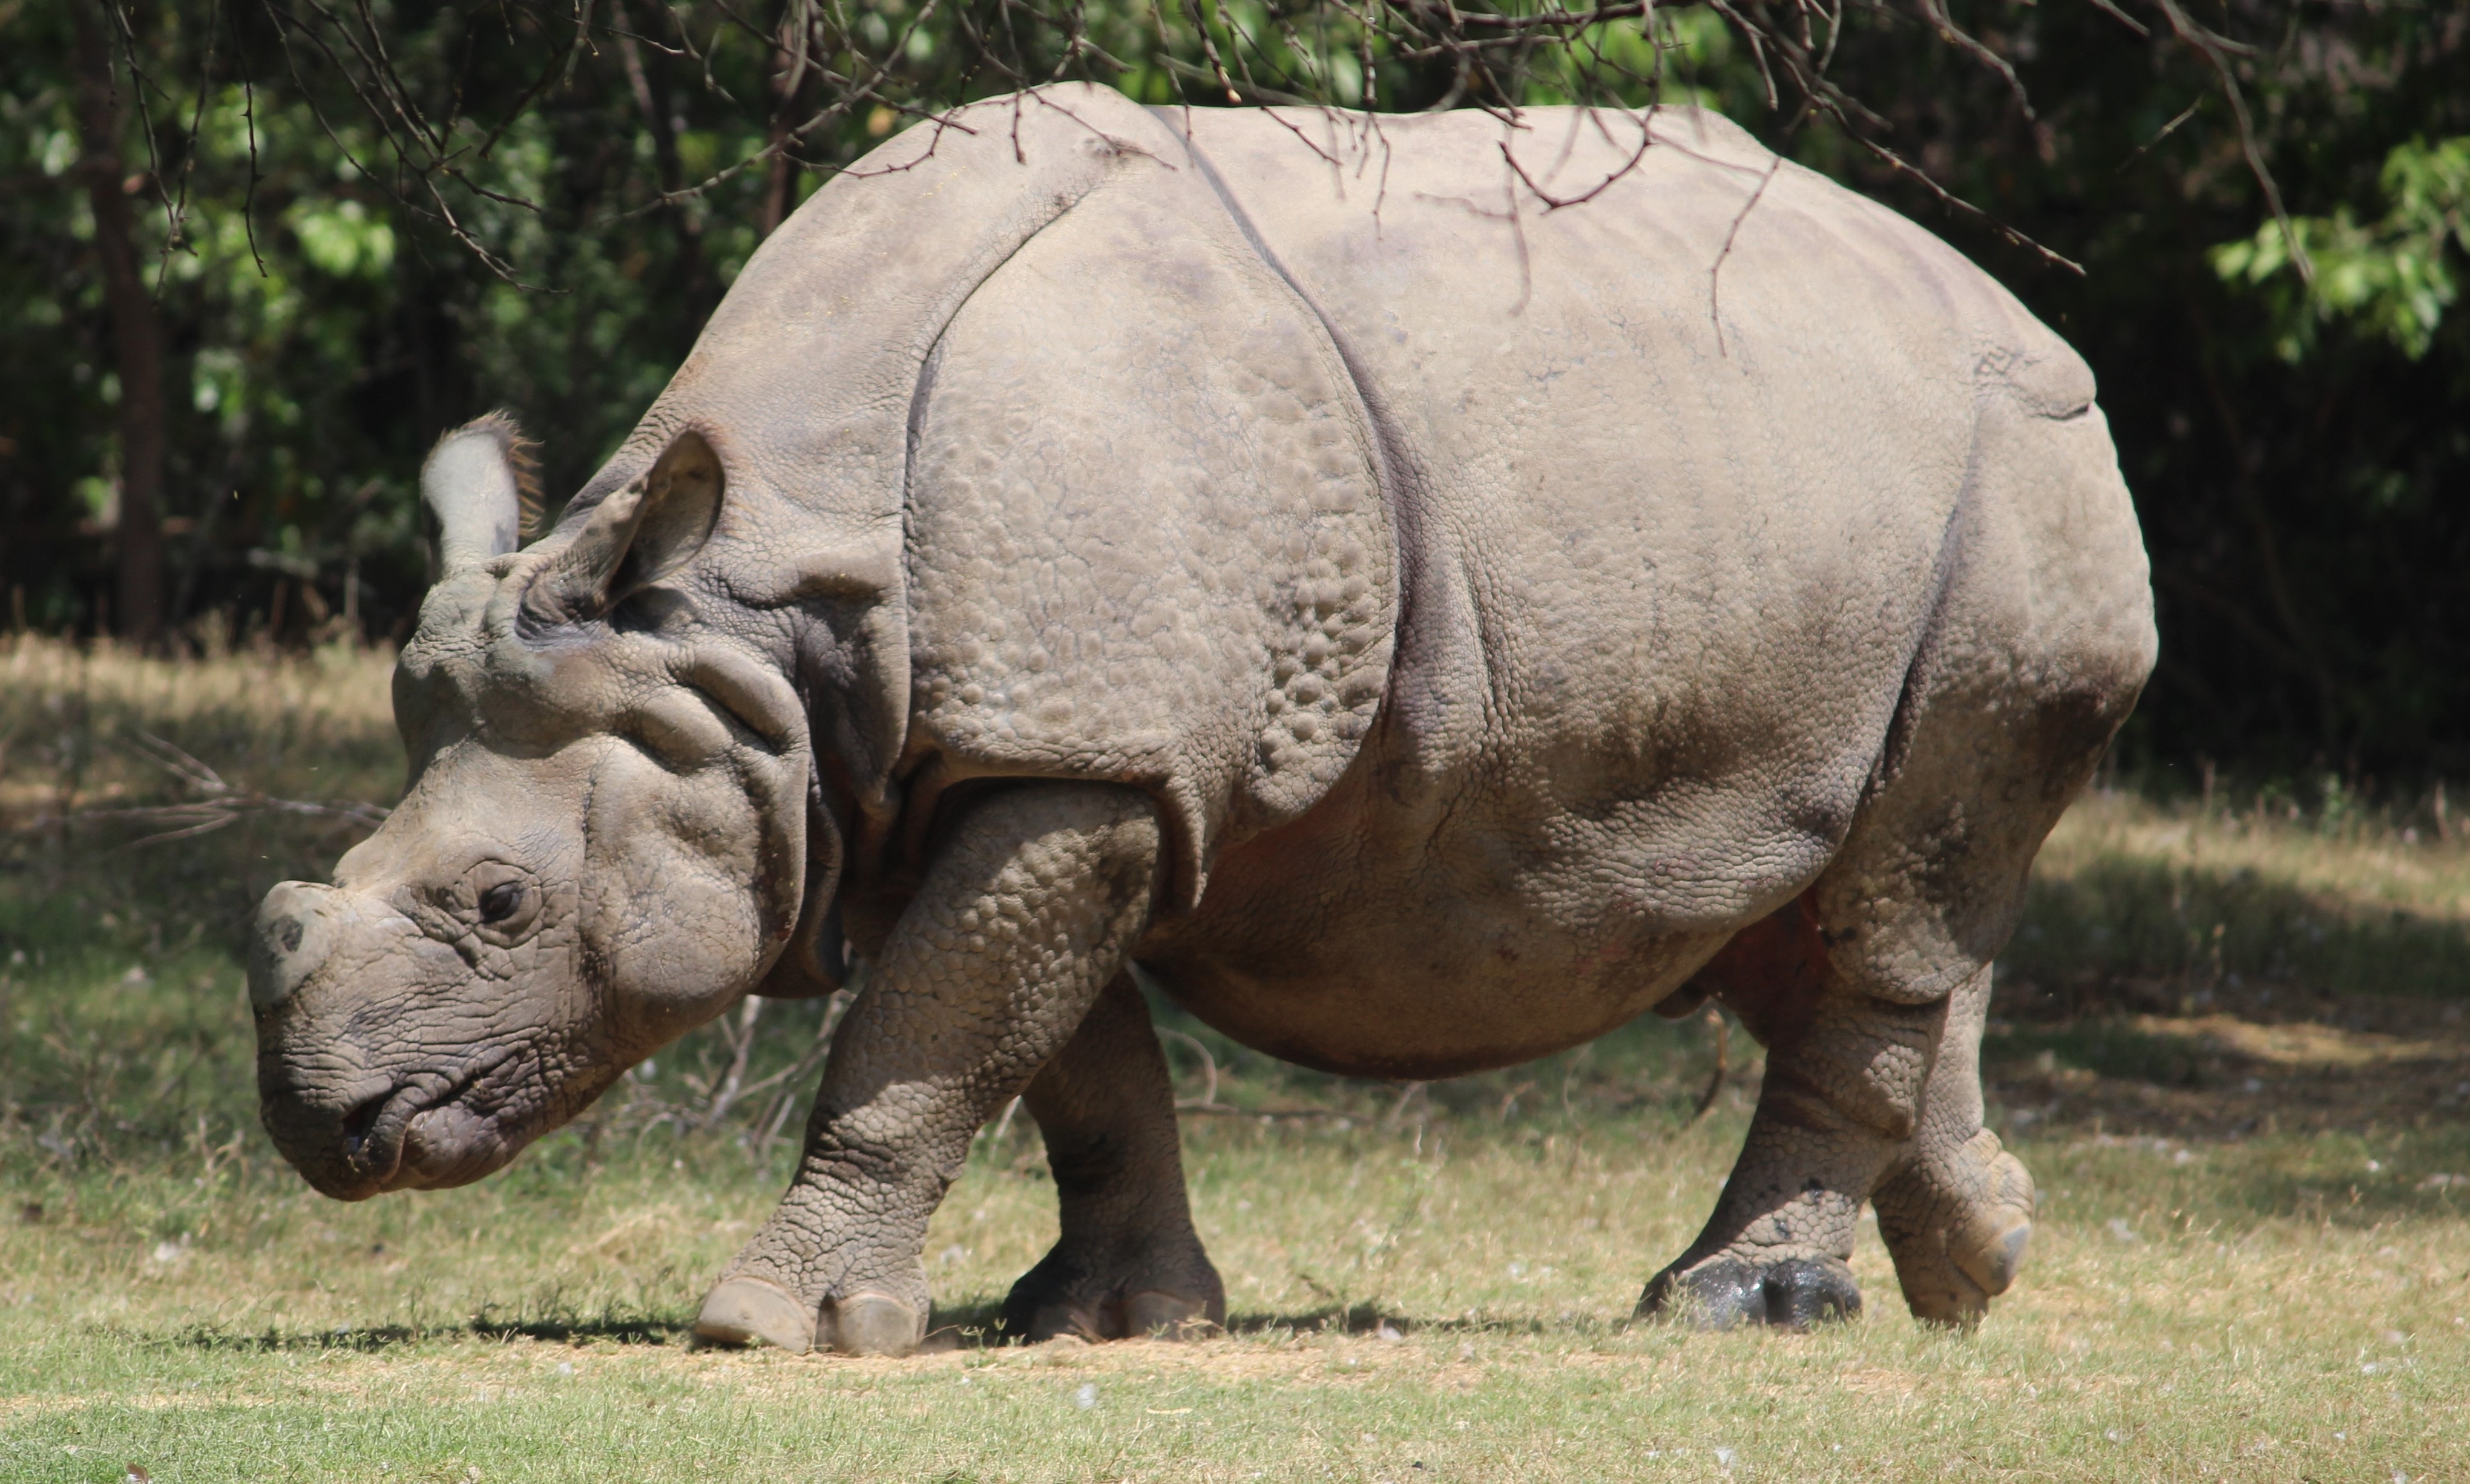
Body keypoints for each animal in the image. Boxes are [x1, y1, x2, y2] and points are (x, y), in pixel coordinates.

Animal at [248, 85, 2154, 1354]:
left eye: (500, 905)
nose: (319, 1131)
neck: (753, 626)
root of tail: (2012, 303)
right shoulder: (972, 760)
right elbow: (1064, 1060)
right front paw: (1103, 1319)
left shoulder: (1073, 755)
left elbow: (926, 1037)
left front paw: (768, 1330)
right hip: (1772, 492)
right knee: (1830, 890)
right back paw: (1978, 1261)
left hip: (2018, 484)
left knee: (1901, 886)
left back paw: (1738, 1306)